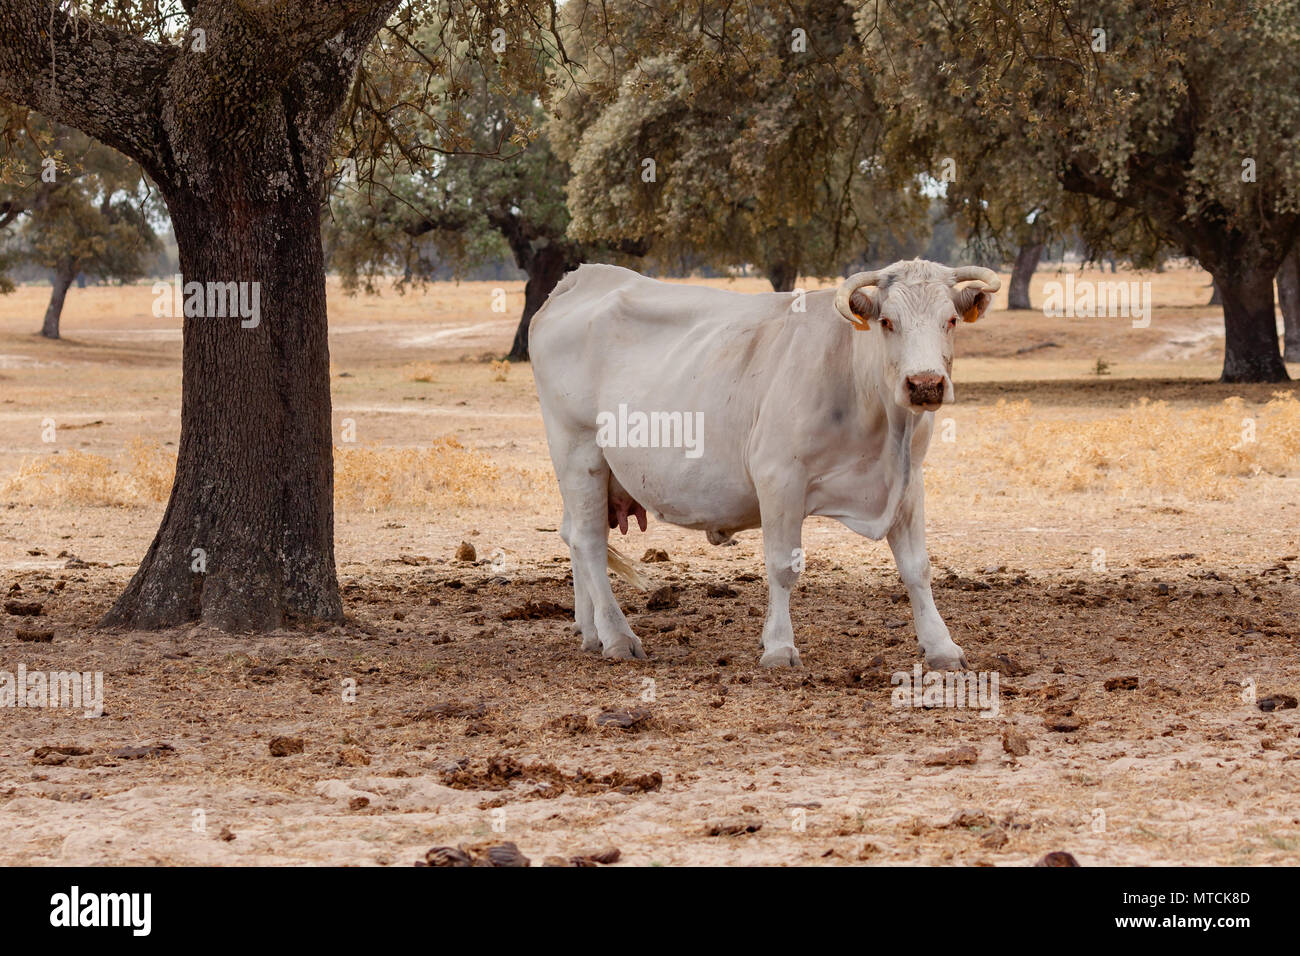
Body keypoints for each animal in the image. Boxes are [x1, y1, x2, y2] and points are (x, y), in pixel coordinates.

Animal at [529, 258, 1000, 668]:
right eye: (887, 322)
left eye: (950, 321)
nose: (925, 384)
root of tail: (584, 278)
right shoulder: (779, 476)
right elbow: (782, 566)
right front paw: (778, 647)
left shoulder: (908, 483)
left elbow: (918, 569)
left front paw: (942, 646)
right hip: (578, 450)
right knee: (589, 541)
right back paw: (617, 636)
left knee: (574, 535)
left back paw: (591, 631)